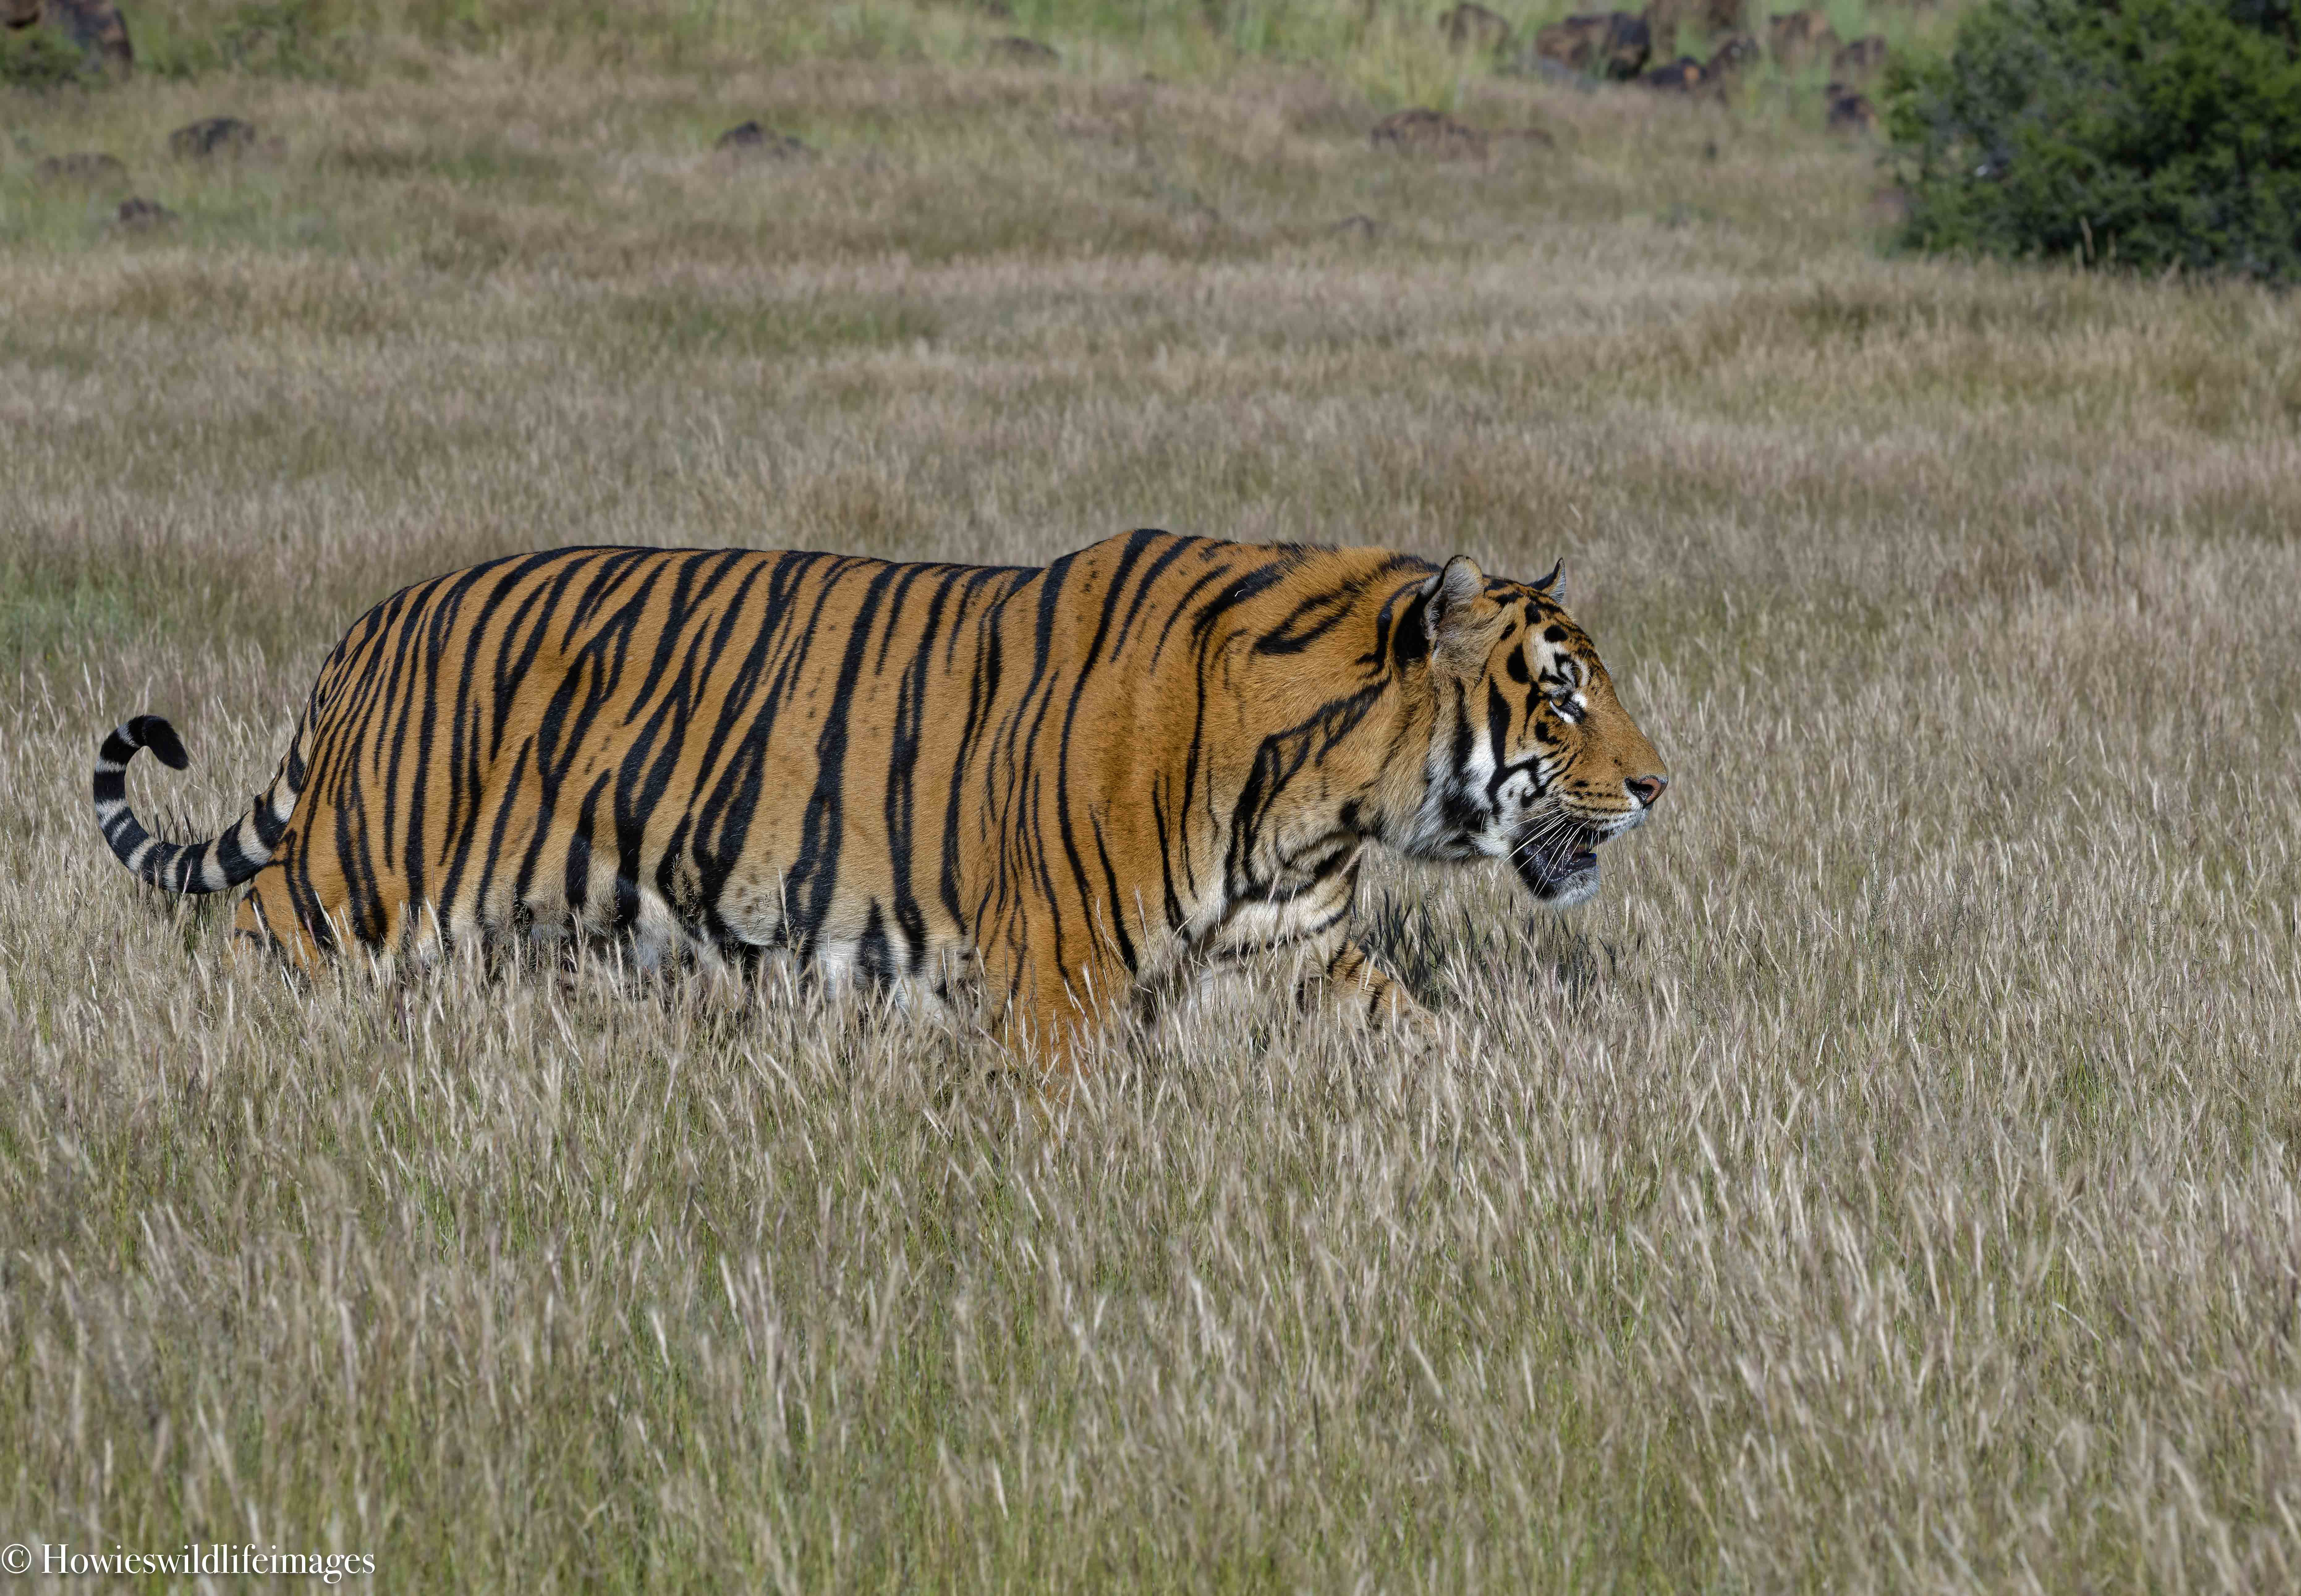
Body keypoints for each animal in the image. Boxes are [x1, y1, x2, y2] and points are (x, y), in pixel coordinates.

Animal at [92, 530, 1668, 1062]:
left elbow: (1422, 1038)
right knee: (250, 937)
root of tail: (377, 617)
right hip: (359, 877)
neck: (1322, 798)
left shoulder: (1303, 956)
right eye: (1561, 694)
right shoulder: (1058, 968)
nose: (1658, 783)